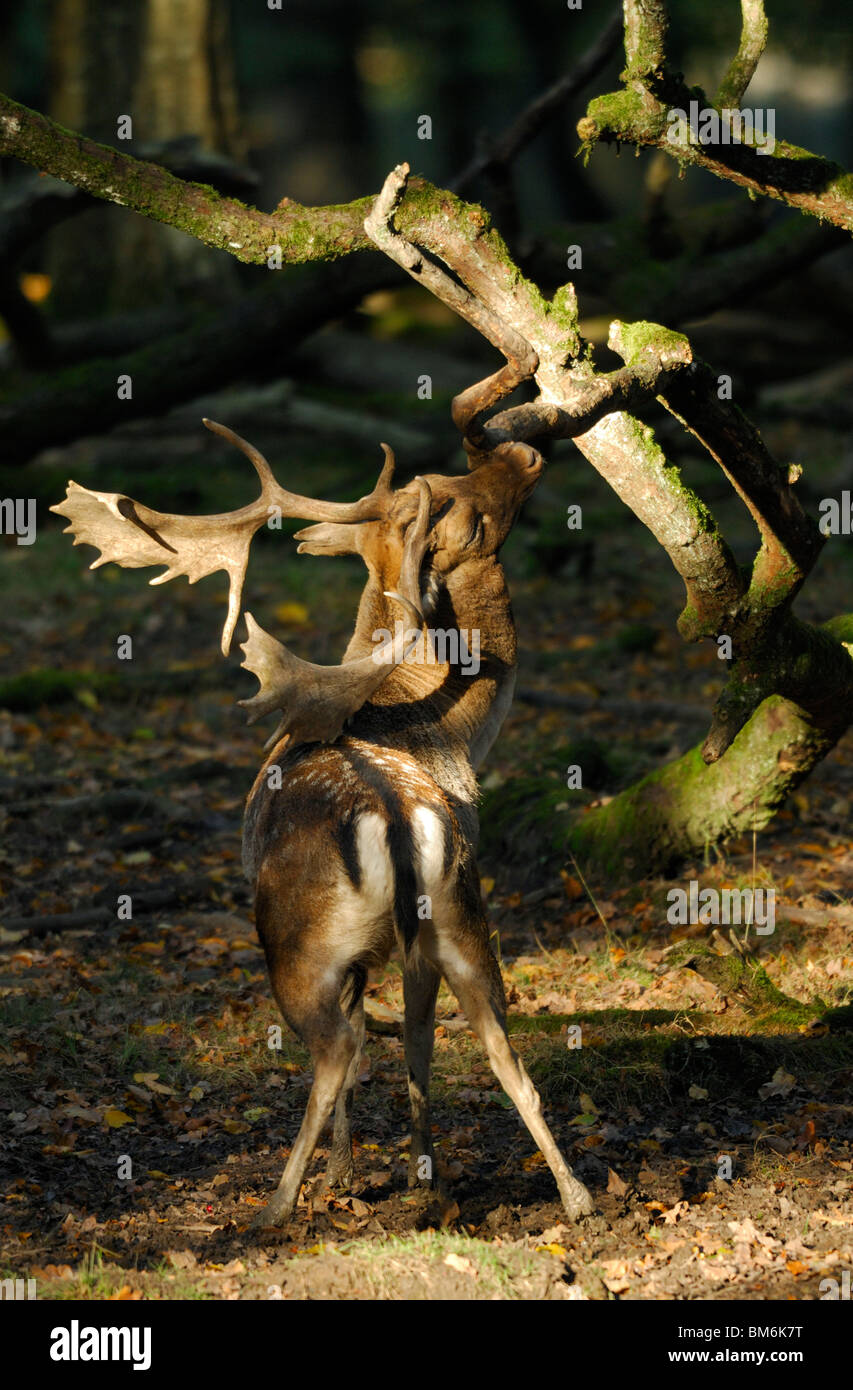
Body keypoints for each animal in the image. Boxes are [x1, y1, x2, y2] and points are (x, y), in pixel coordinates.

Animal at [50, 394, 594, 1230]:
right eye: (460, 504)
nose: (526, 457)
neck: (448, 727)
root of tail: (398, 817)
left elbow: (372, 1034)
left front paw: (348, 1172)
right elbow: (413, 1036)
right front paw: (414, 1174)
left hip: (296, 940)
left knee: (337, 1047)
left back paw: (275, 1205)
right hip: (460, 914)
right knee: (497, 1046)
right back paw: (576, 1196)